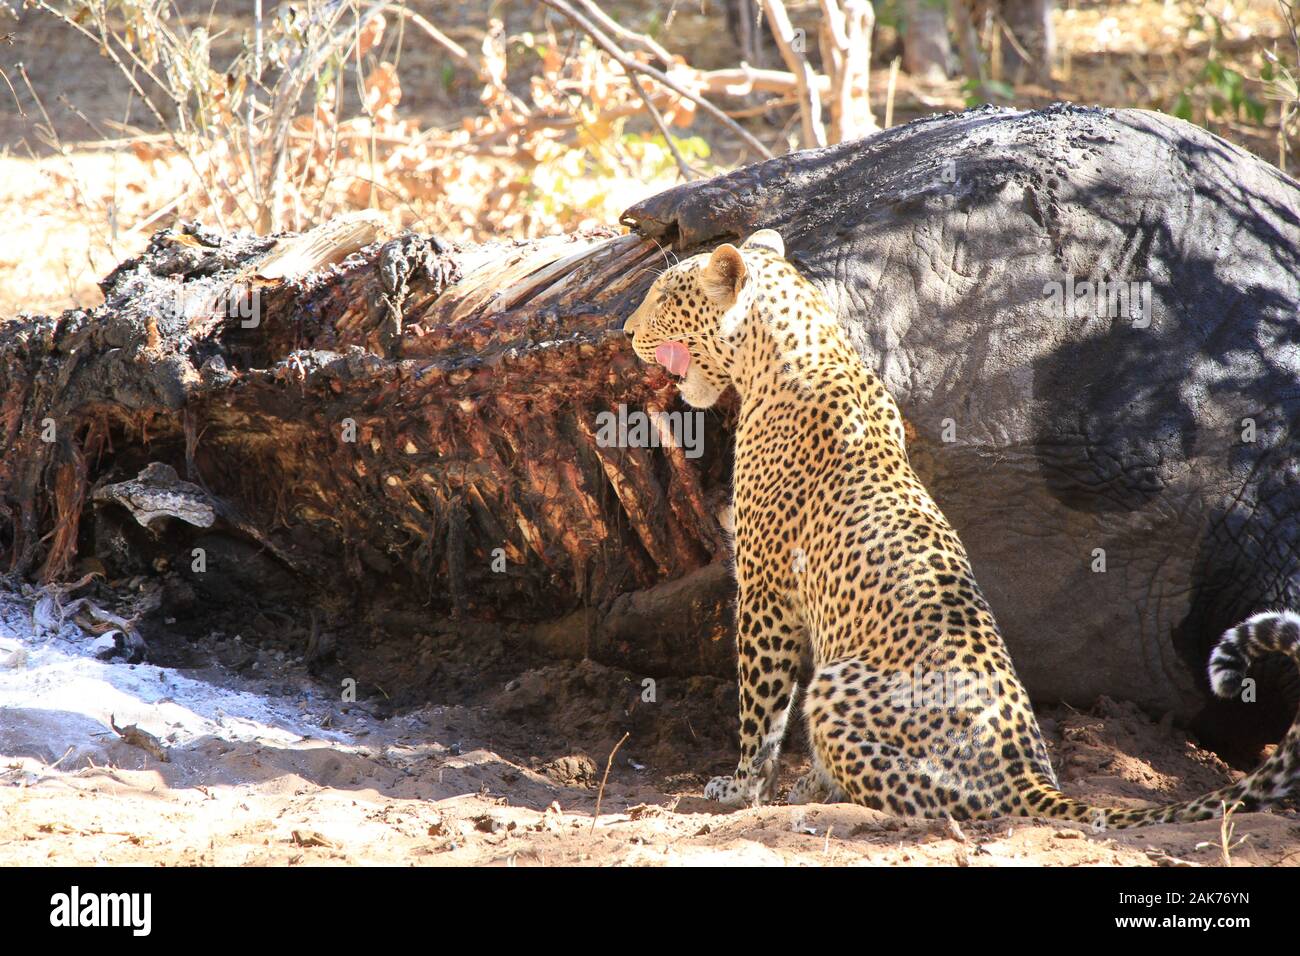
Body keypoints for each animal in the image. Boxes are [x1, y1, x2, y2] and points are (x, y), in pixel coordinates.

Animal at [622, 228, 1300, 827]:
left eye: (664, 295)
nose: (626, 332)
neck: (793, 343)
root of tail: (1031, 775)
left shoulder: (765, 587)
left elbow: (761, 706)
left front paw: (740, 789)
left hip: (841, 686)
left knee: (934, 798)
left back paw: (823, 795)